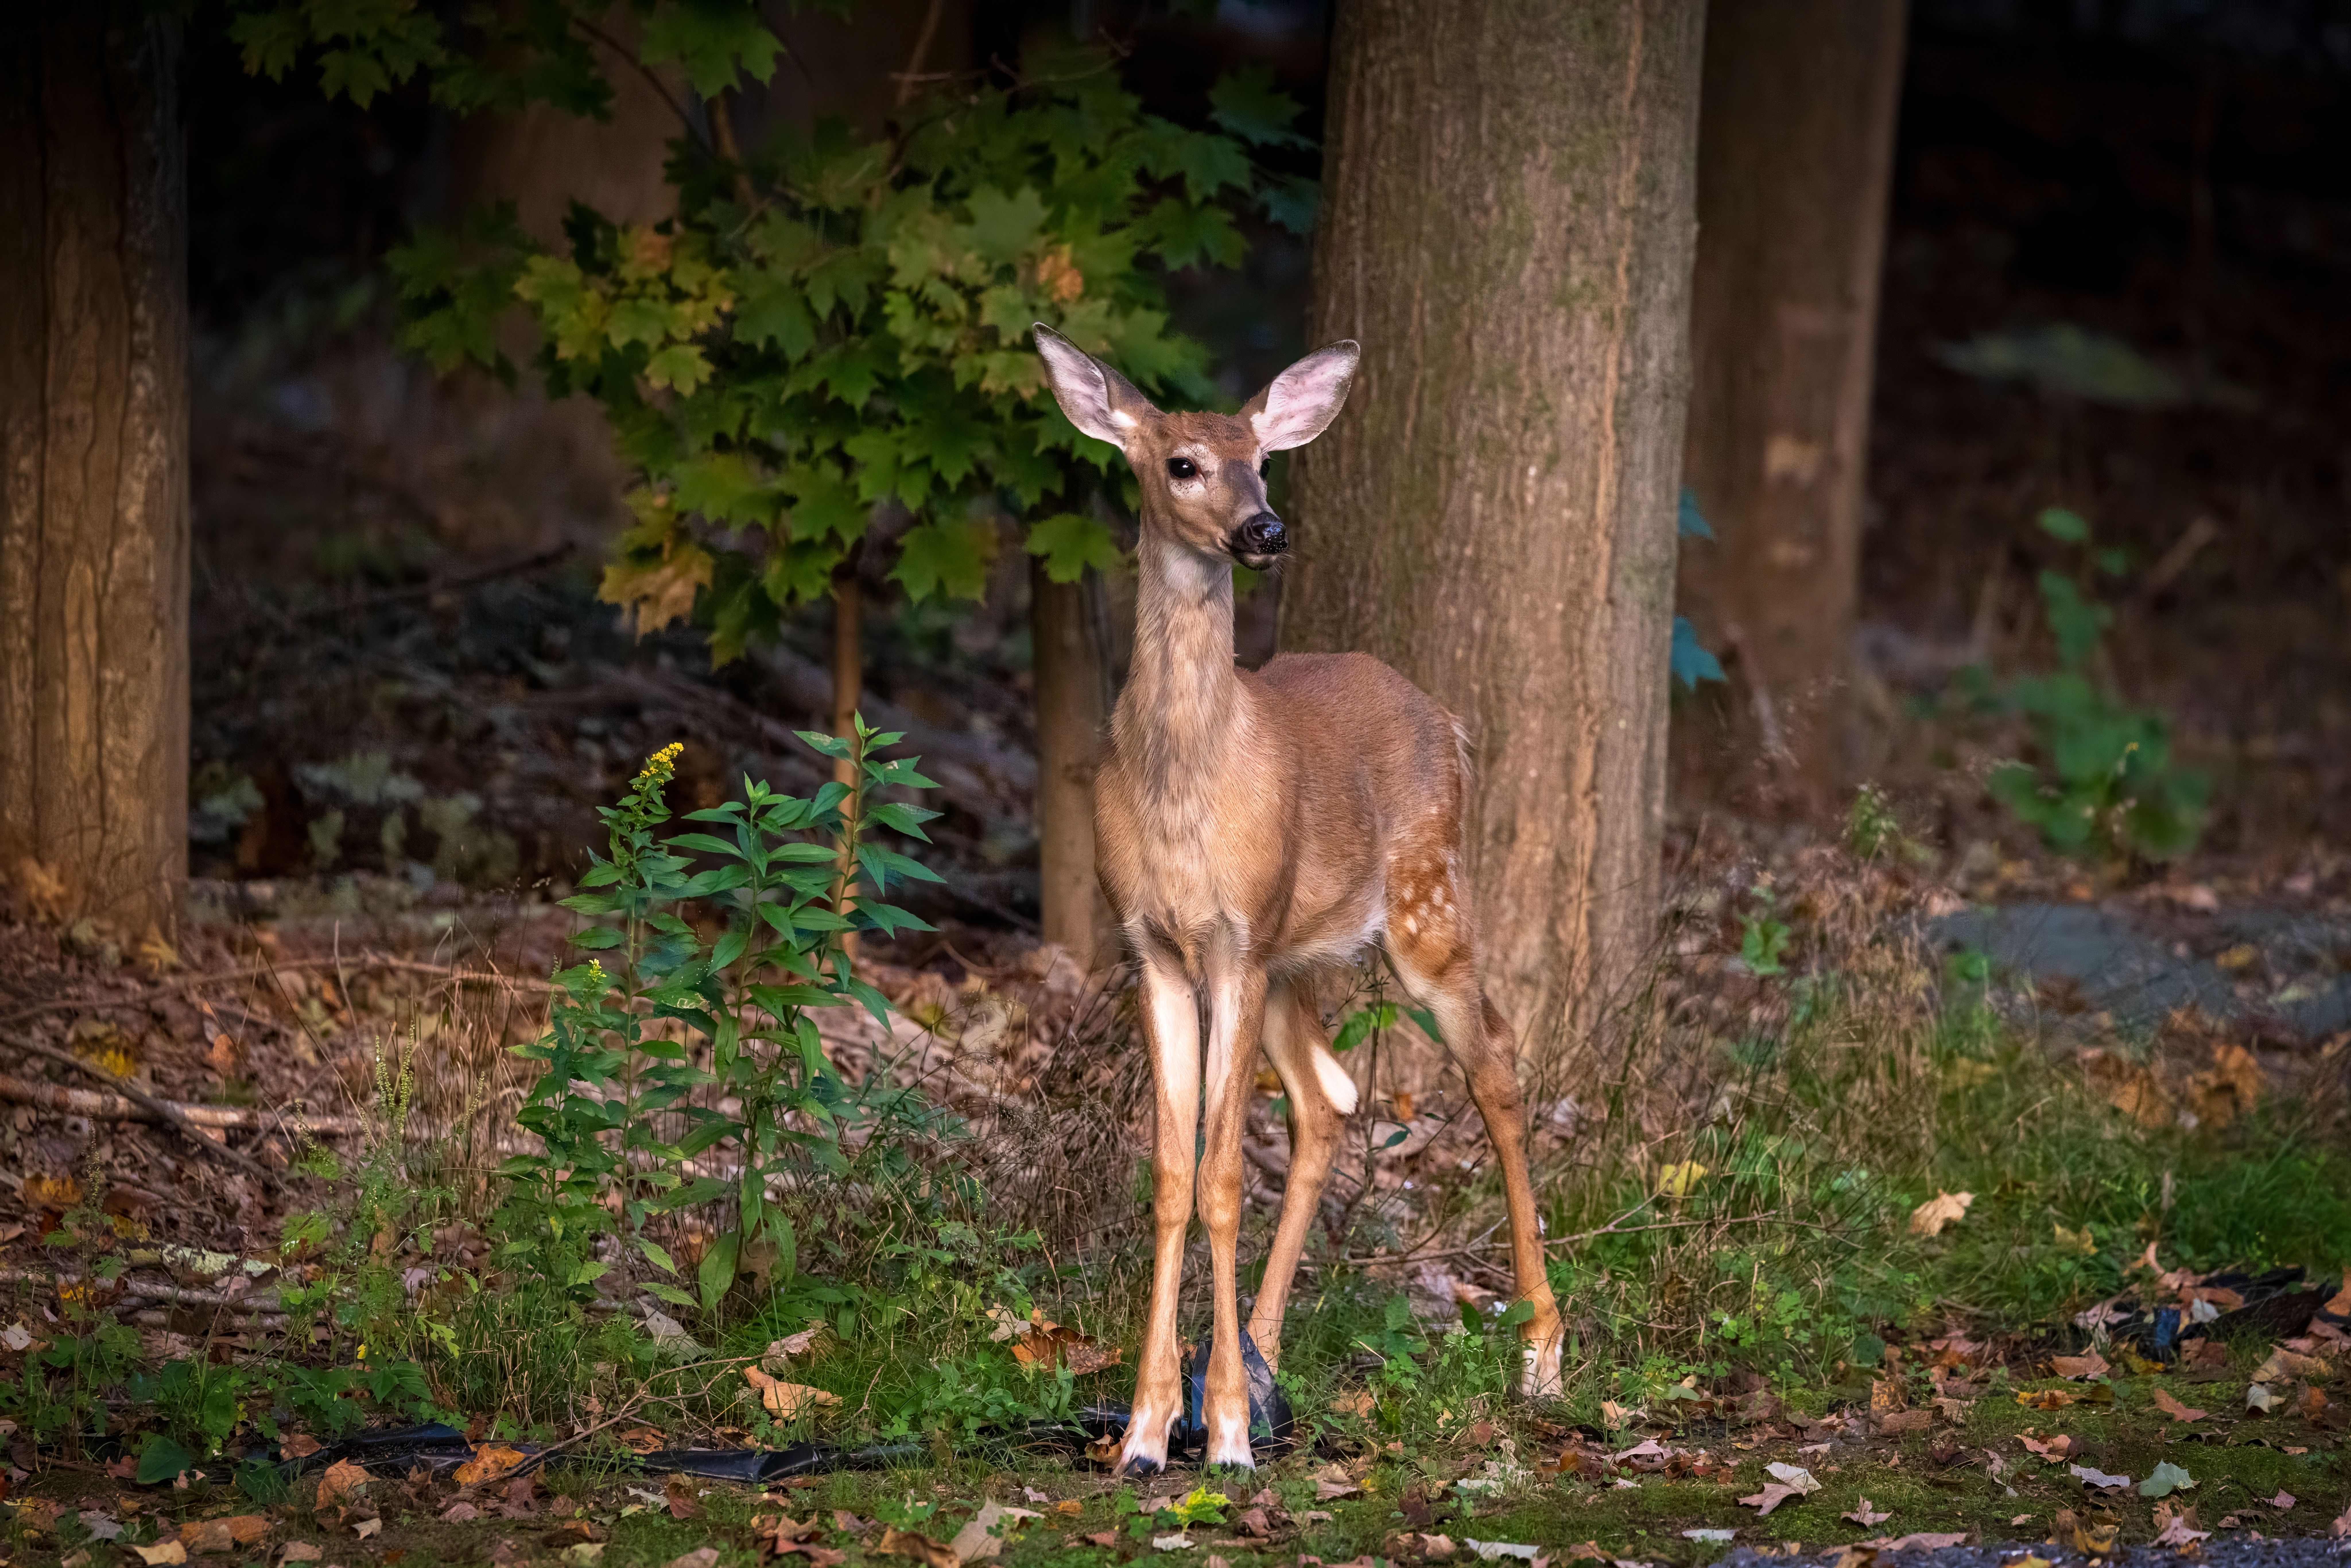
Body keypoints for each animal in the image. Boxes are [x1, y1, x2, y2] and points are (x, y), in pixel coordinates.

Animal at [1031, 325, 1564, 1476]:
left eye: (1264, 461)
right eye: (1184, 462)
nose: (1263, 529)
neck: (1183, 787)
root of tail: (1449, 718)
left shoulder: (1232, 941)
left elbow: (1225, 1175)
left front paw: (1224, 1433)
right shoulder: (1155, 947)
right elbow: (1173, 1177)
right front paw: (1146, 1430)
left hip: (1425, 902)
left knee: (1498, 1068)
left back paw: (1540, 1353)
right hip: (1293, 956)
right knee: (1329, 1097)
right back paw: (1263, 1358)